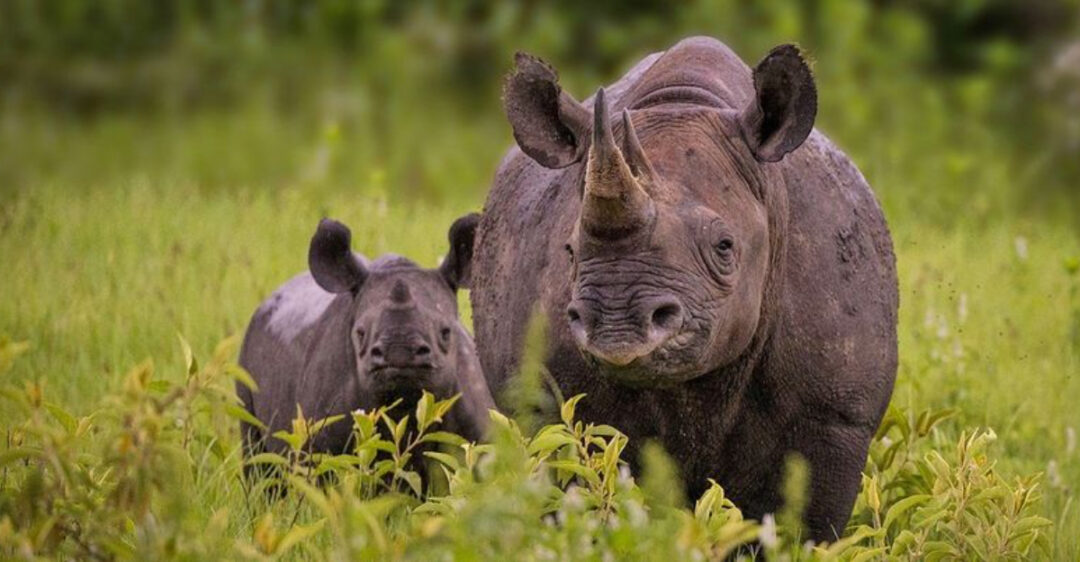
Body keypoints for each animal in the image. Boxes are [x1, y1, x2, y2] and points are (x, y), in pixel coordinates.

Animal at [470, 37, 898, 540]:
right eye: (570, 250)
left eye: (724, 246)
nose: (617, 325)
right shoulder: (551, 408)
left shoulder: (835, 415)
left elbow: (801, 525)